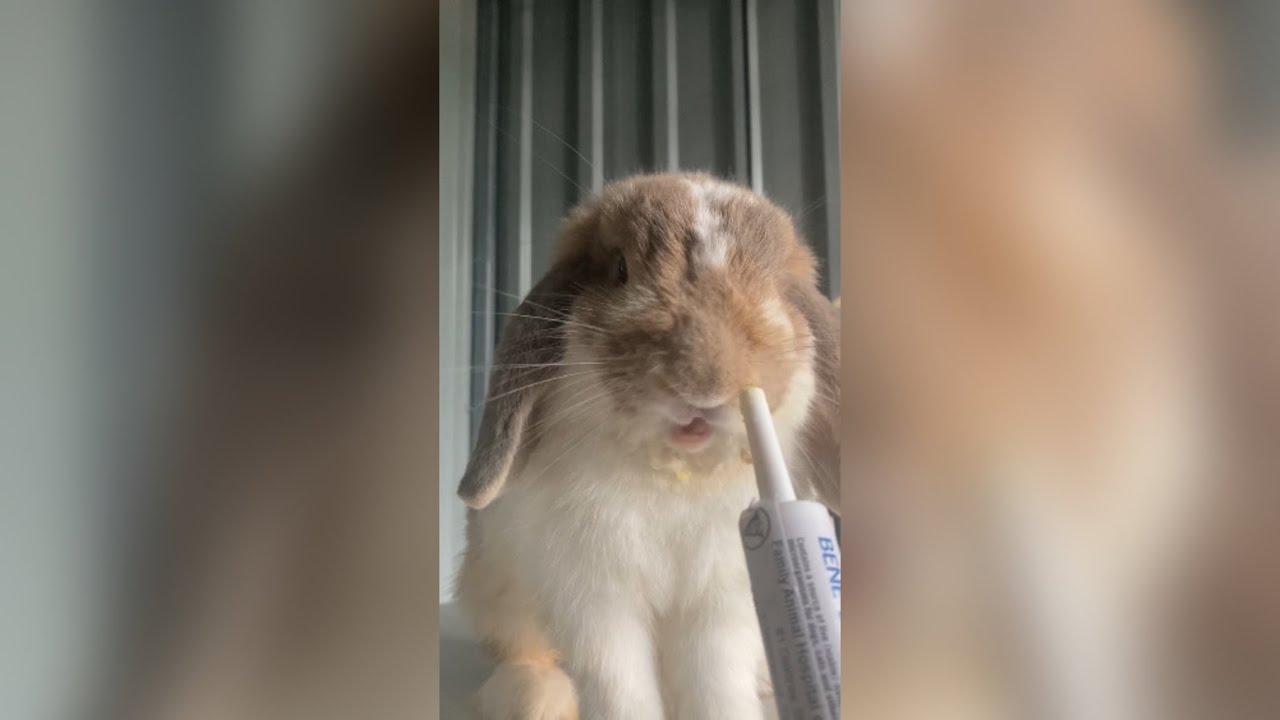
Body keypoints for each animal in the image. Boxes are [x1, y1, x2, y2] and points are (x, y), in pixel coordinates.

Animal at [453, 172, 839, 720]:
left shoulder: (721, 605)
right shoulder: (596, 601)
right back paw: (533, 698)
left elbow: (715, 683)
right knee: (523, 652)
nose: (705, 384)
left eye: (773, 288)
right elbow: (619, 684)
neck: (675, 473)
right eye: (620, 270)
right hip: (495, 595)